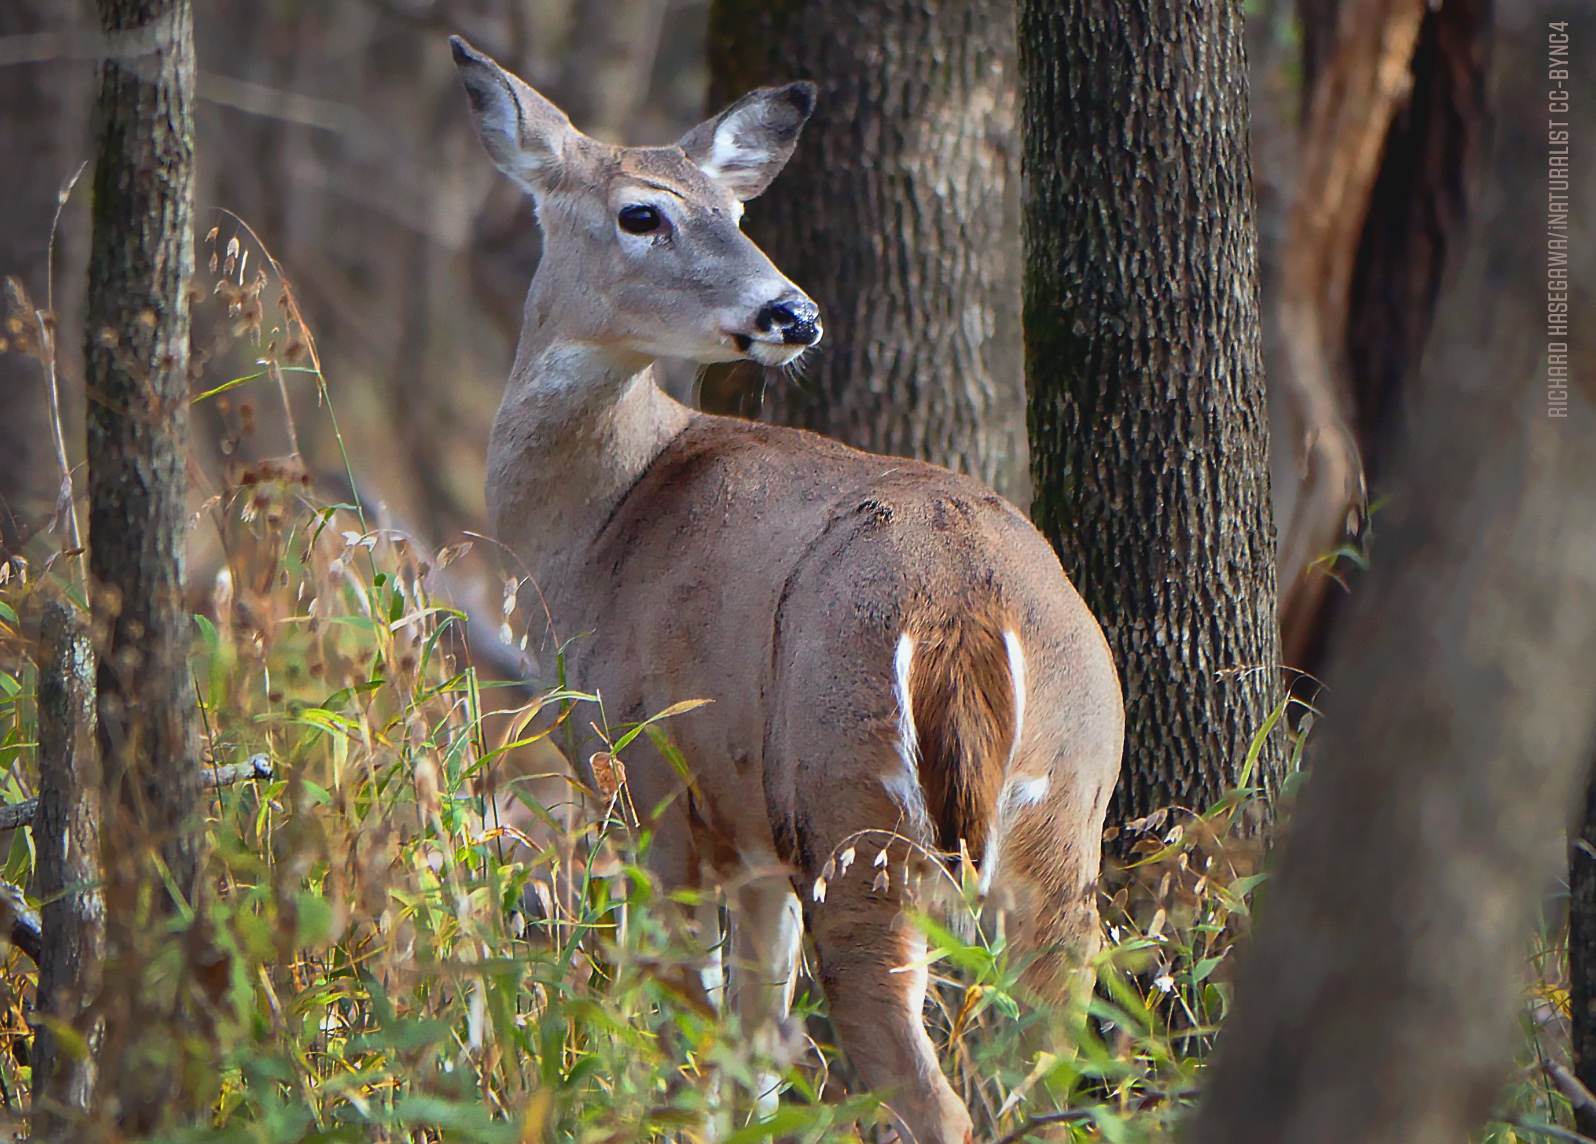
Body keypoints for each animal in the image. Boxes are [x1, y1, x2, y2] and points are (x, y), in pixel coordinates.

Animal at [449, 36, 1123, 1144]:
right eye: (644, 213)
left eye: (736, 210)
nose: (791, 312)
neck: (602, 526)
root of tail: (967, 612)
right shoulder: (753, 843)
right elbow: (752, 1054)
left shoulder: (653, 786)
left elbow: (689, 1041)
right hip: (1064, 820)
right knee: (1045, 1071)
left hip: (852, 815)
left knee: (933, 1094)